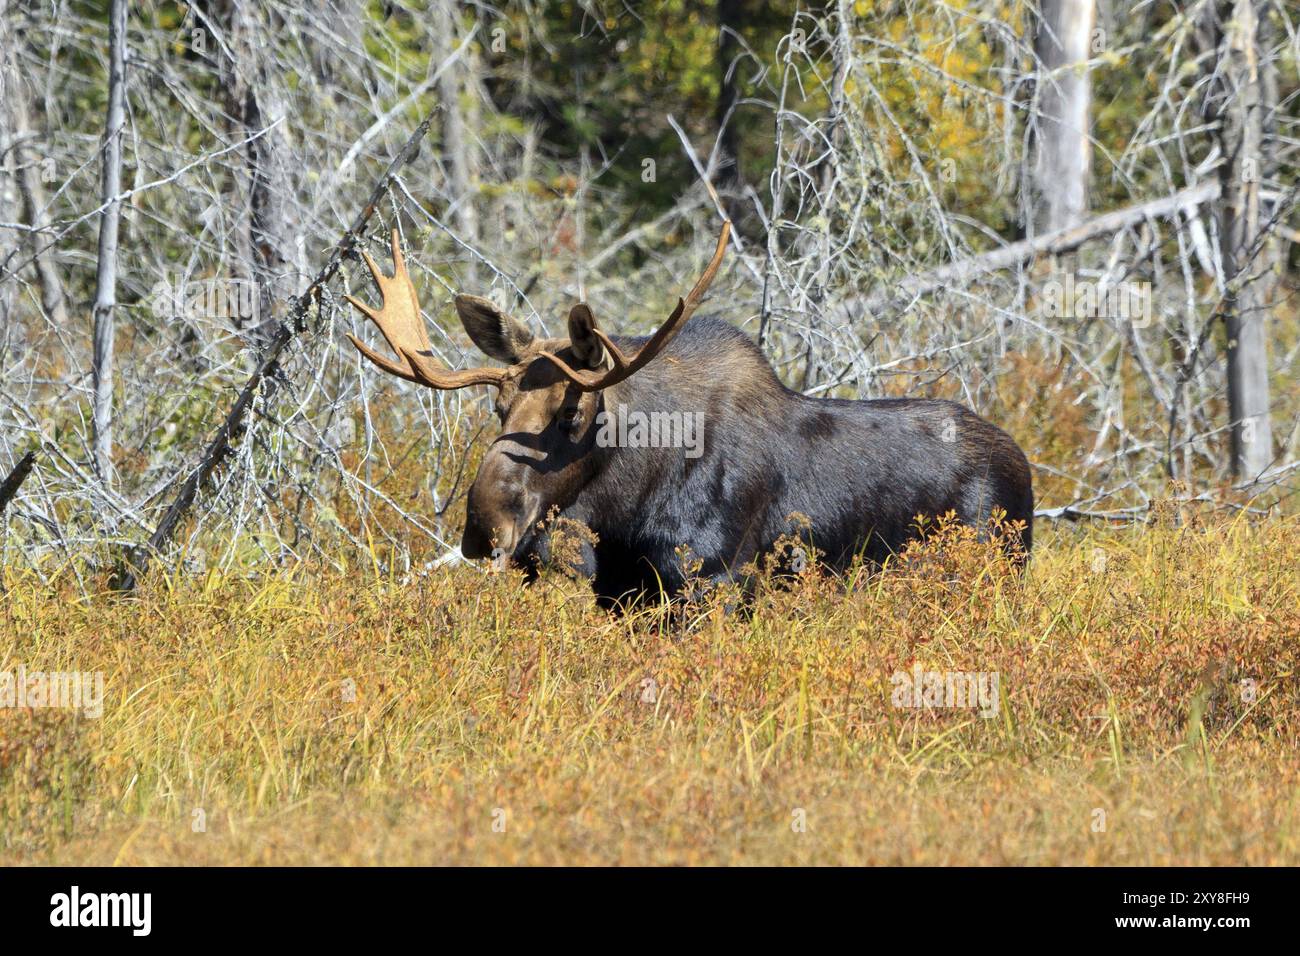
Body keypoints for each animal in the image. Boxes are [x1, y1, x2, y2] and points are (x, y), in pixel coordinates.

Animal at [345, 224, 1033, 609]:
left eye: (574, 414)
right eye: (498, 405)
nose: (487, 527)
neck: (624, 513)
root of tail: (1024, 464)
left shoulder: (715, 582)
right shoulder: (620, 595)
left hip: (993, 569)